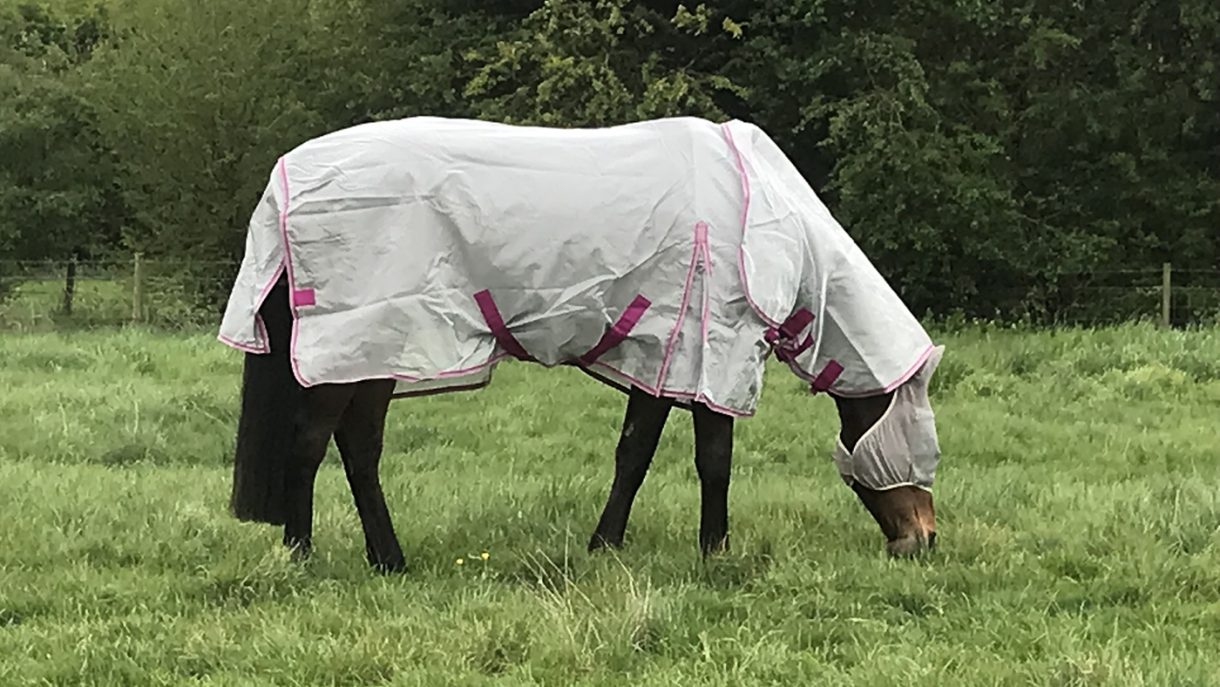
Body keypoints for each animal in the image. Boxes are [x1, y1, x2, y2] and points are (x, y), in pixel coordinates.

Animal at [220, 116, 944, 572]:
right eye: (921, 434)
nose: (925, 539)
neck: (765, 219)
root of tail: (288, 175)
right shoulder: (712, 353)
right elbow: (714, 459)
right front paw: (716, 552)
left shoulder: (663, 357)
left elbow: (635, 454)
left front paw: (605, 544)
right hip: (357, 348)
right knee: (314, 444)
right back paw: (304, 554)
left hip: (375, 354)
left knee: (358, 447)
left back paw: (387, 559)